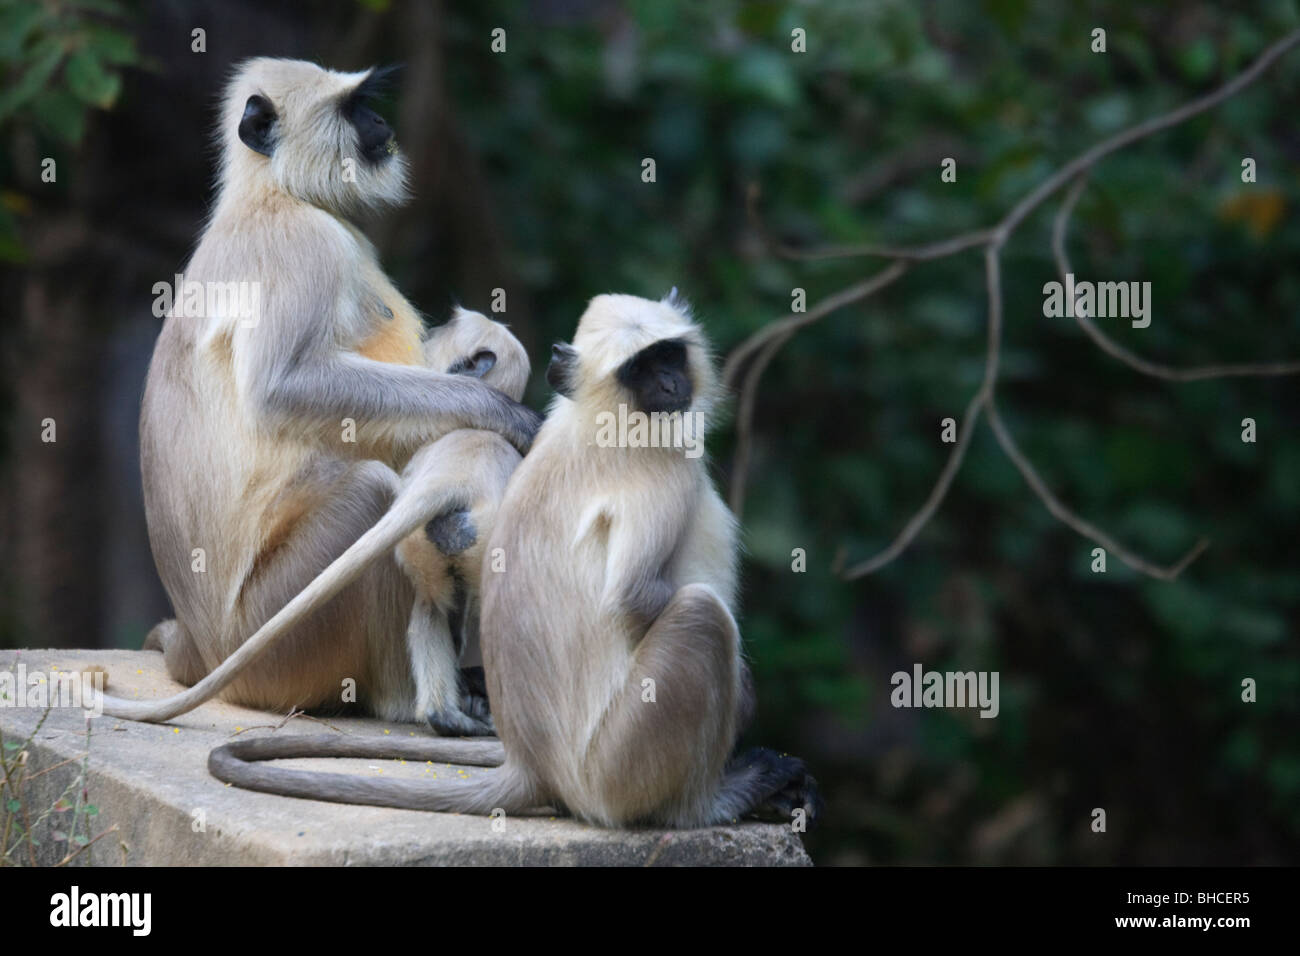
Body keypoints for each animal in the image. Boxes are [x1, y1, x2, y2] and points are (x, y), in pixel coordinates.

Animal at [99, 59, 539, 737]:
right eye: (353, 106)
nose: (380, 122)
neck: (274, 191)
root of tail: (206, 653)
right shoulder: (299, 242)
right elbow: (282, 387)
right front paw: (505, 417)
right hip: (278, 639)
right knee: (374, 492)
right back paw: (412, 702)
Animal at [207, 292, 822, 830]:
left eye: (669, 355)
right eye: (643, 368)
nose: (672, 384)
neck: (595, 415)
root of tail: (536, 770)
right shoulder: (666, 469)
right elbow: (631, 595)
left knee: (432, 604)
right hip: (618, 766)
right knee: (699, 613)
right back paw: (716, 801)